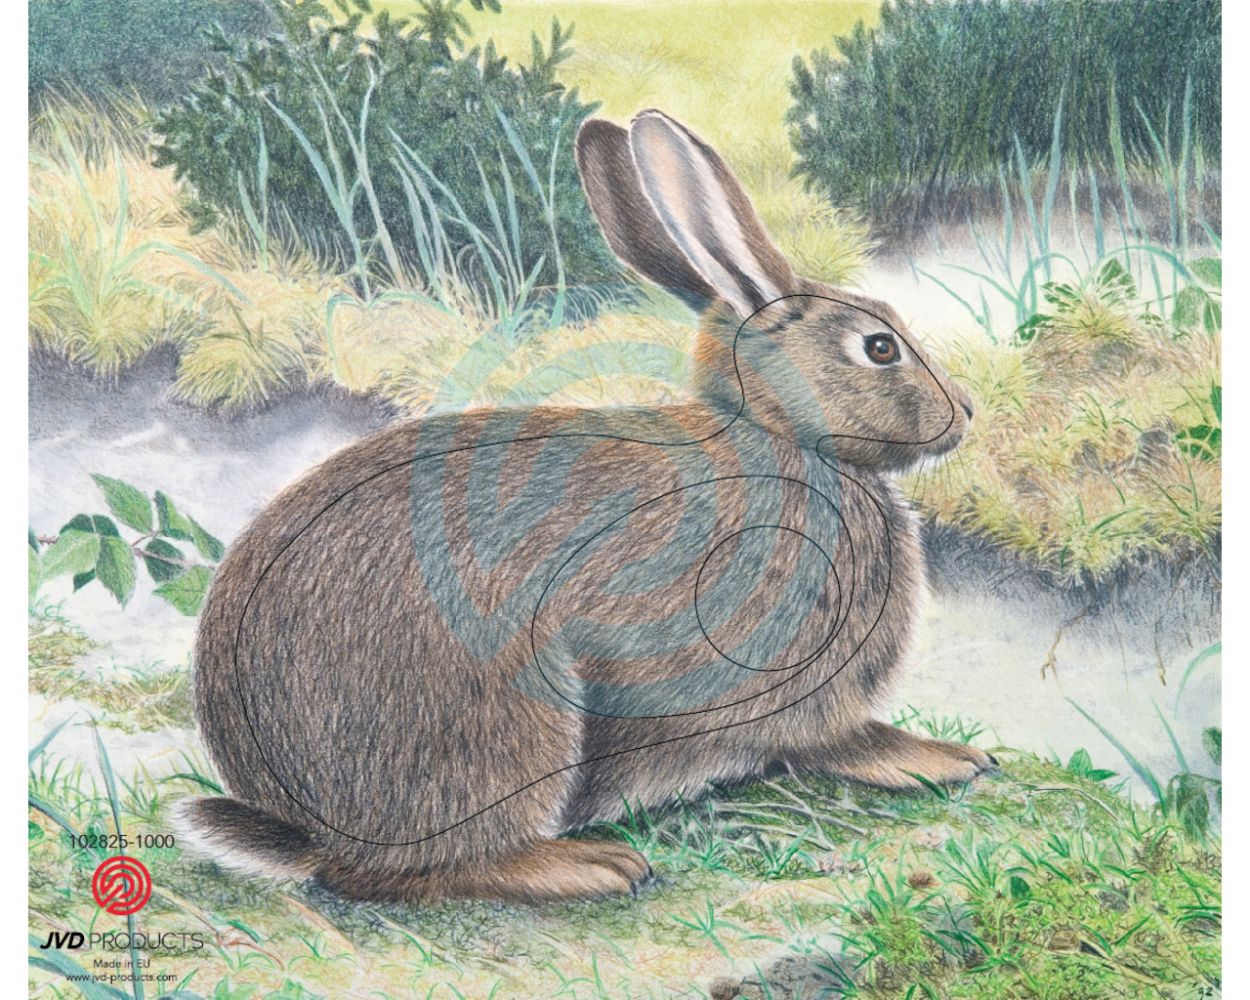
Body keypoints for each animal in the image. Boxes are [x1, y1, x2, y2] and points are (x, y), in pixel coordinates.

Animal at [183, 109, 993, 904]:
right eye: (881, 347)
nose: (967, 410)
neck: (782, 437)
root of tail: (306, 821)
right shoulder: (795, 687)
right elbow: (836, 741)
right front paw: (939, 758)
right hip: (505, 713)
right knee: (418, 869)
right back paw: (591, 866)